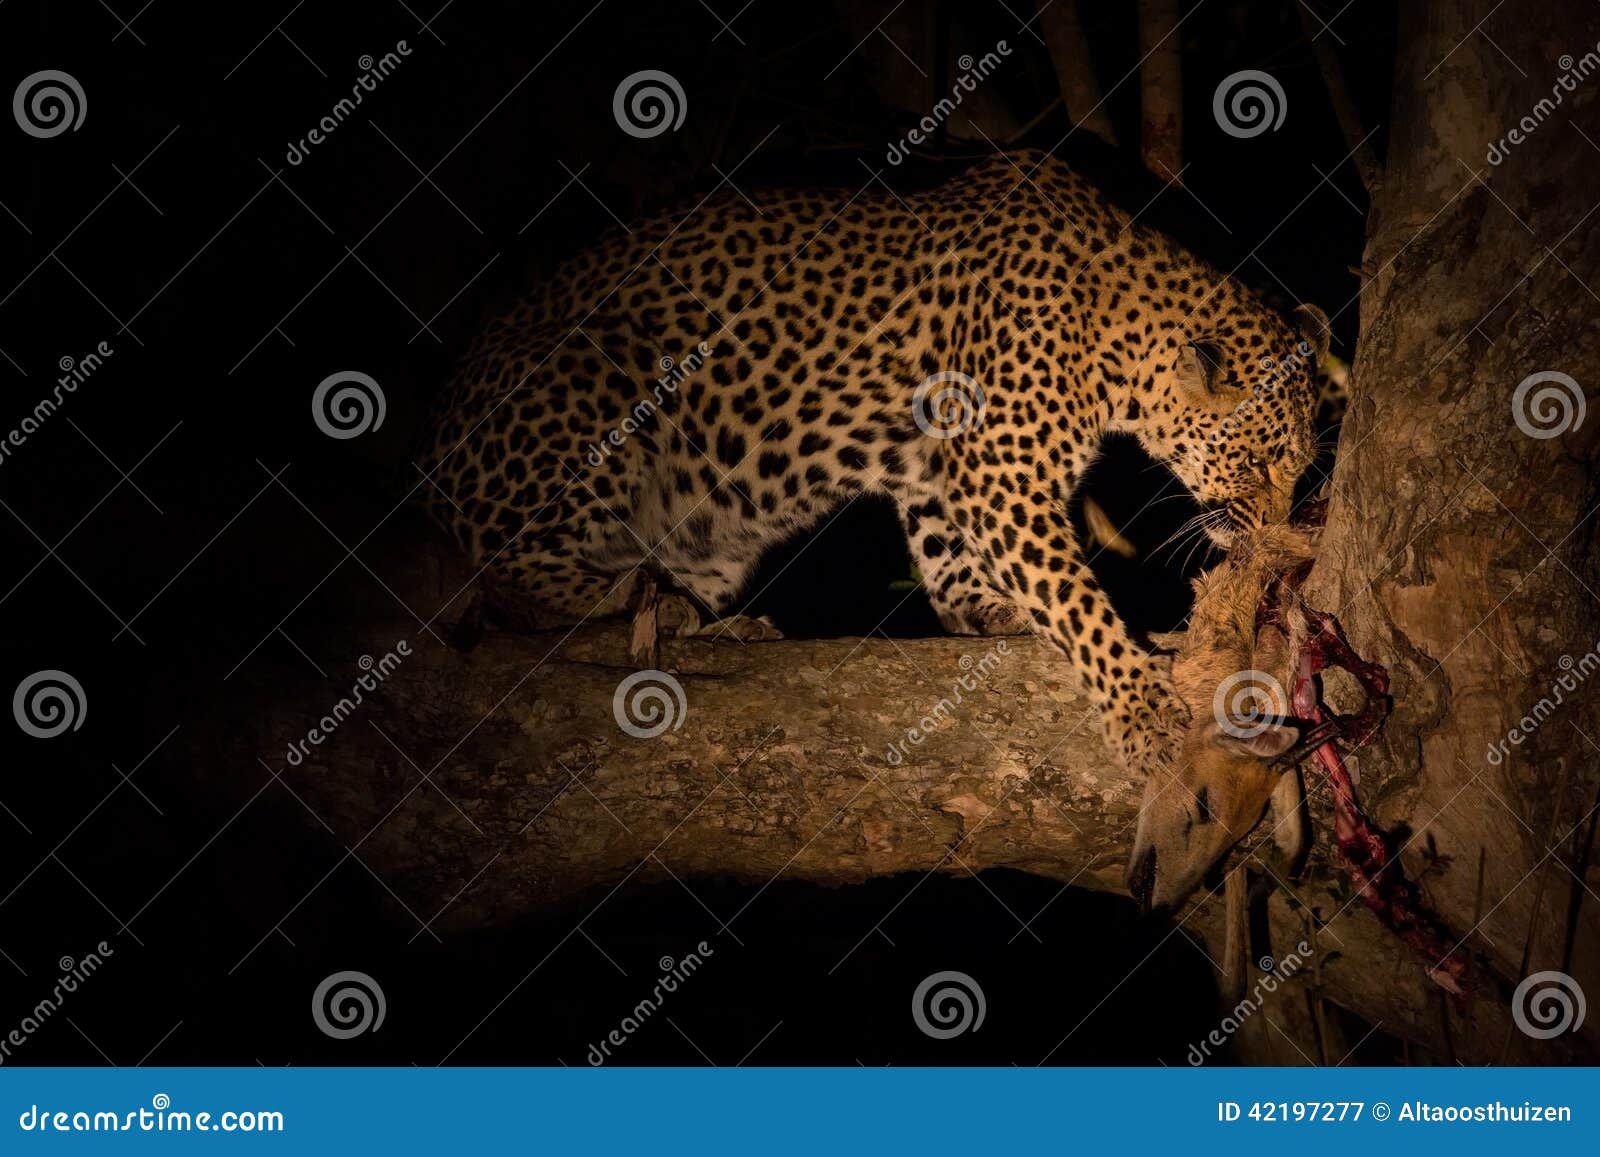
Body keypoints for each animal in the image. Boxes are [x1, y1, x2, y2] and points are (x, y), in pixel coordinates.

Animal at [415, 148, 1328, 775]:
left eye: (1297, 466)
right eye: (1262, 461)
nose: (1279, 536)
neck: (1114, 337)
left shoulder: (939, 467)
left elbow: (946, 552)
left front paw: (982, 607)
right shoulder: (999, 474)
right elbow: (1076, 599)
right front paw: (1140, 710)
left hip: (714, 534)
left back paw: (711, 619)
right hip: (598, 384)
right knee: (511, 581)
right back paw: (640, 601)